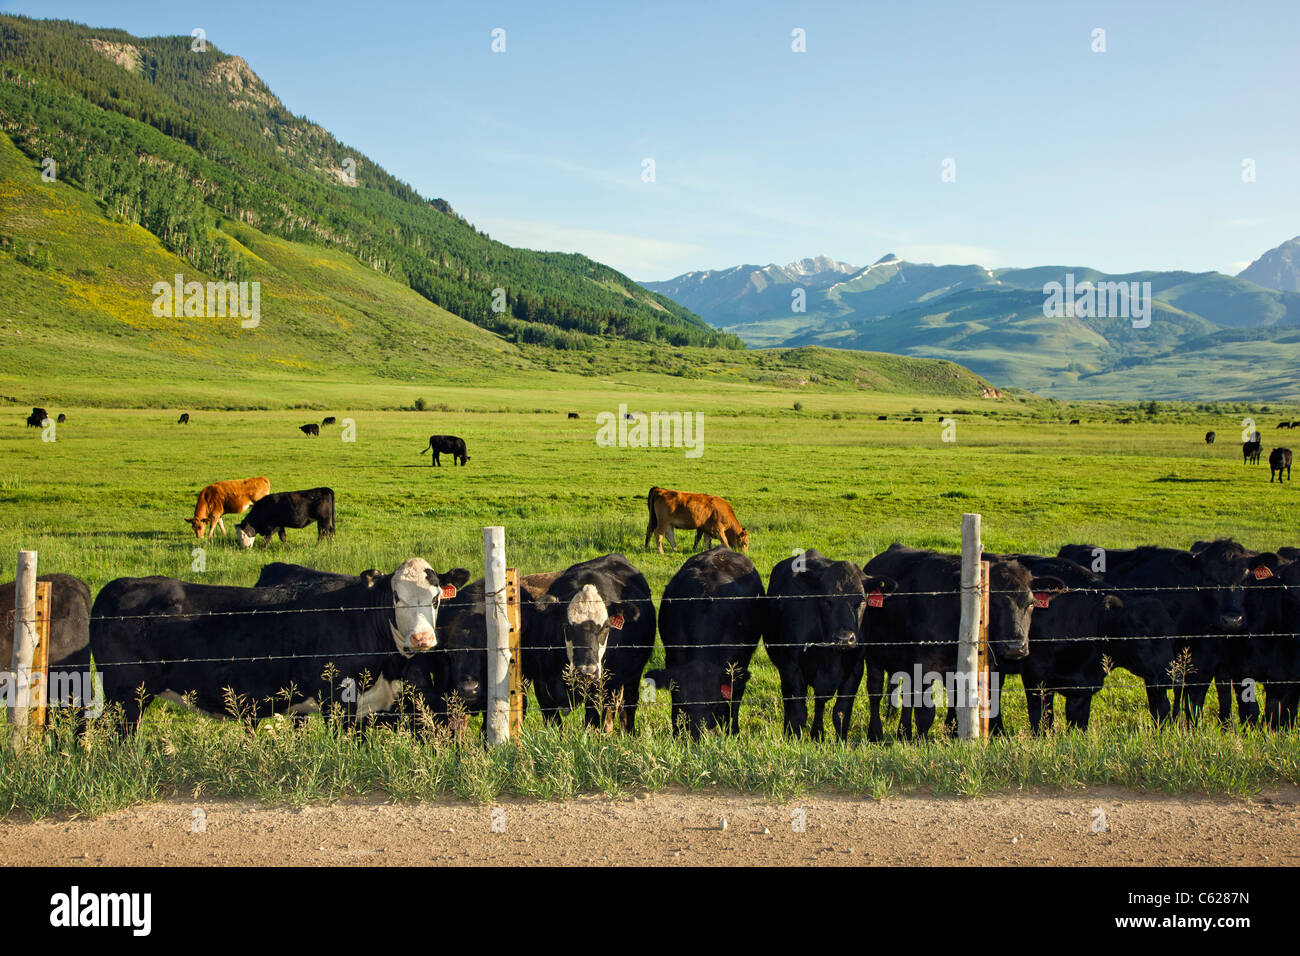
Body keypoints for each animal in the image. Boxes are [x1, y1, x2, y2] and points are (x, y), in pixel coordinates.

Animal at [89, 558, 469, 727]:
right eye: (396, 597)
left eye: (436, 597)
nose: (422, 638)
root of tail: (118, 585)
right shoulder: (336, 702)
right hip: (126, 697)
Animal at [523, 553, 654, 732]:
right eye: (567, 625)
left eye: (606, 626)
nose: (586, 671)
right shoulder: (542, 684)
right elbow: (553, 722)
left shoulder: (603, 687)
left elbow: (593, 721)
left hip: (632, 677)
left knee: (627, 707)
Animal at [645, 548, 766, 738]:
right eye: (684, 704)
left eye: (714, 704)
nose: (698, 737)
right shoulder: (672, 658)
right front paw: (676, 734)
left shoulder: (737, 664)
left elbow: (733, 702)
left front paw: (732, 732)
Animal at [765, 549, 894, 741]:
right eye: (826, 601)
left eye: (861, 601)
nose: (844, 638)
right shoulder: (791, 667)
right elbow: (798, 713)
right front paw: (794, 740)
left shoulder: (855, 669)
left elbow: (841, 712)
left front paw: (839, 741)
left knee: (819, 703)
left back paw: (817, 735)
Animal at [860, 544, 1063, 742]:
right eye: (993, 602)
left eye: (1031, 603)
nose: (1015, 647)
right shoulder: (924, 666)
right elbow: (926, 711)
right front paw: (922, 740)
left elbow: (960, 701)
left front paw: (952, 733)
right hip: (874, 659)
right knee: (875, 692)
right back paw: (875, 734)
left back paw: (904, 733)